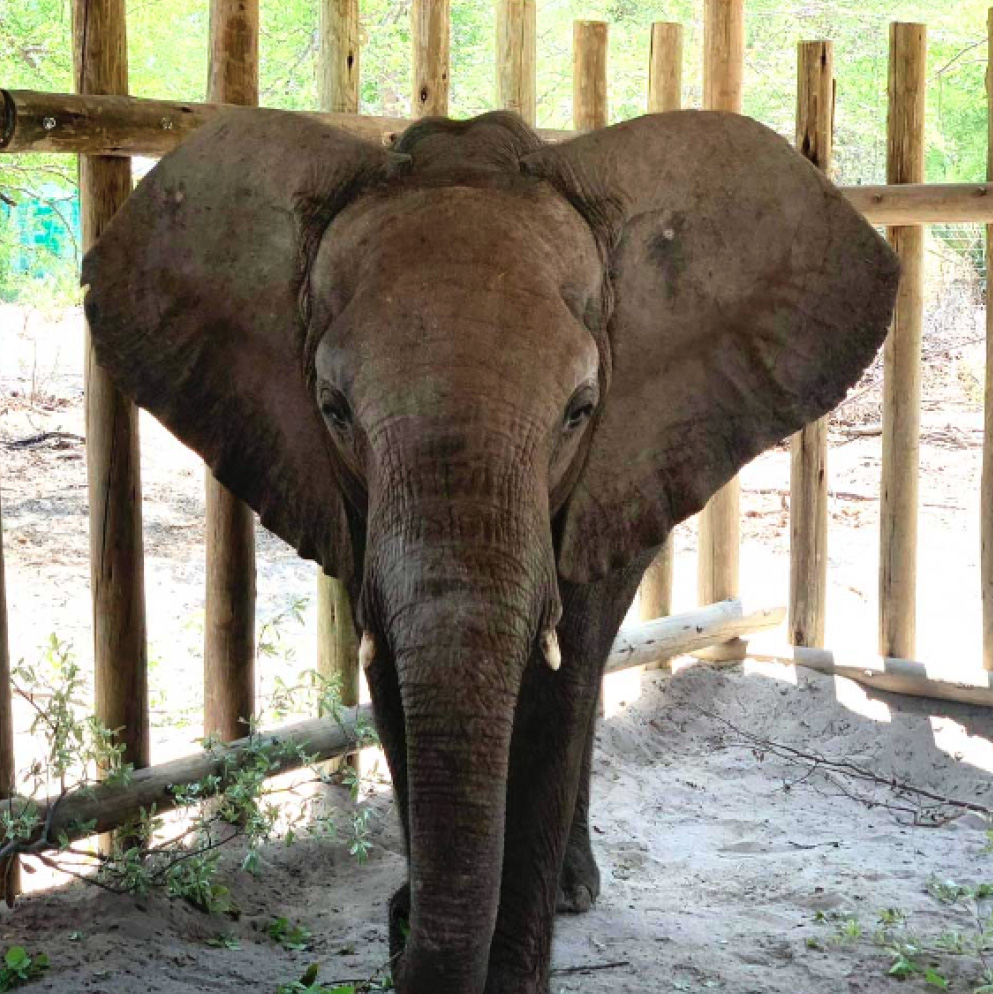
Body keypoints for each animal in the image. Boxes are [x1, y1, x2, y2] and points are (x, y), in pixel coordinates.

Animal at [81, 106, 899, 994]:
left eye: (580, 410)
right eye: (333, 410)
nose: (399, 926)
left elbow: (557, 688)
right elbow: (395, 687)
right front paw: (414, 921)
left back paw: (575, 890)